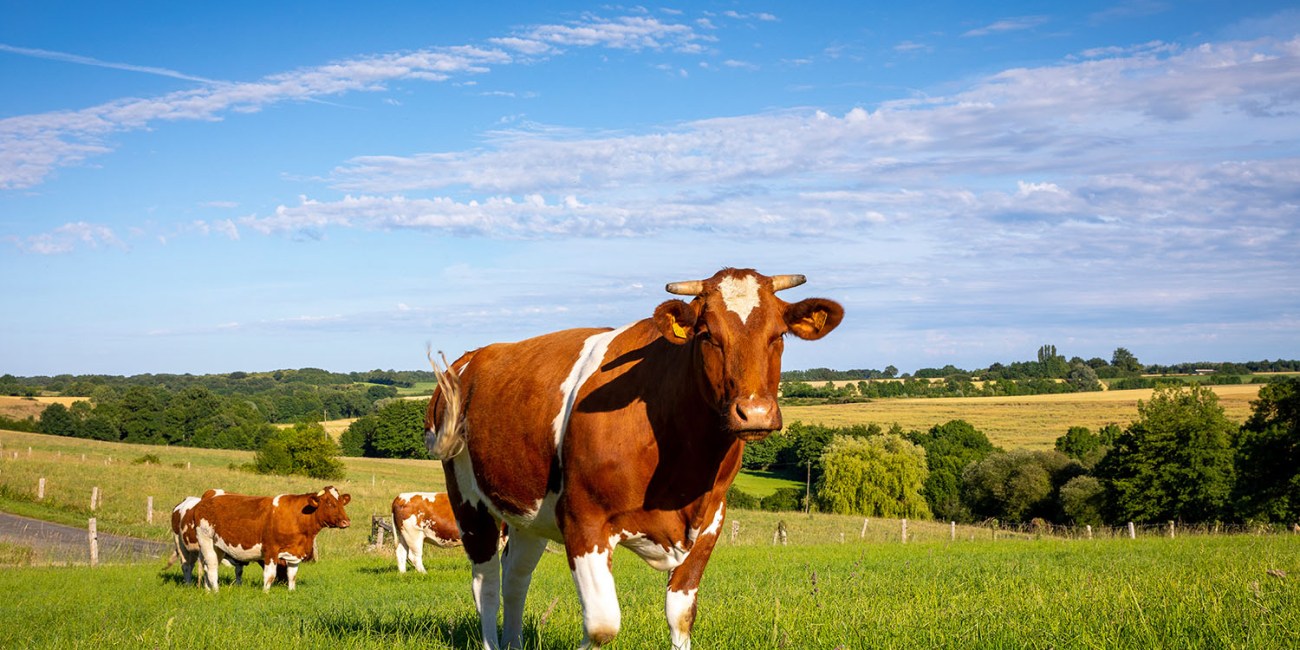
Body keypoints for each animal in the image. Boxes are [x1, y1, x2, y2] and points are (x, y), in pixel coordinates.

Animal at [179, 486, 352, 592]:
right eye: (329, 502)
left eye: (341, 502)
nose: (346, 522)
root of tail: (206, 499)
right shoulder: (271, 550)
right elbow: (270, 575)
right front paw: (265, 593)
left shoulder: (295, 553)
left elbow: (292, 575)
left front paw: (291, 591)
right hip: (205, 541)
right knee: (211, 566)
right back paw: (216, 591)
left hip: (219, 546)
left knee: (207, 566)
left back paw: (208, 590)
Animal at [424, 267, 843, 649]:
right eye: (708, 334)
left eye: (778, 334)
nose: (754, 413)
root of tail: (470, 358)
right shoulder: (583, 520)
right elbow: (601, 625)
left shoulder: (711, 520)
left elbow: (681, 616)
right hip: (468, 502)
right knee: (487, 585)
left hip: (528, 514)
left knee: (515, 578)